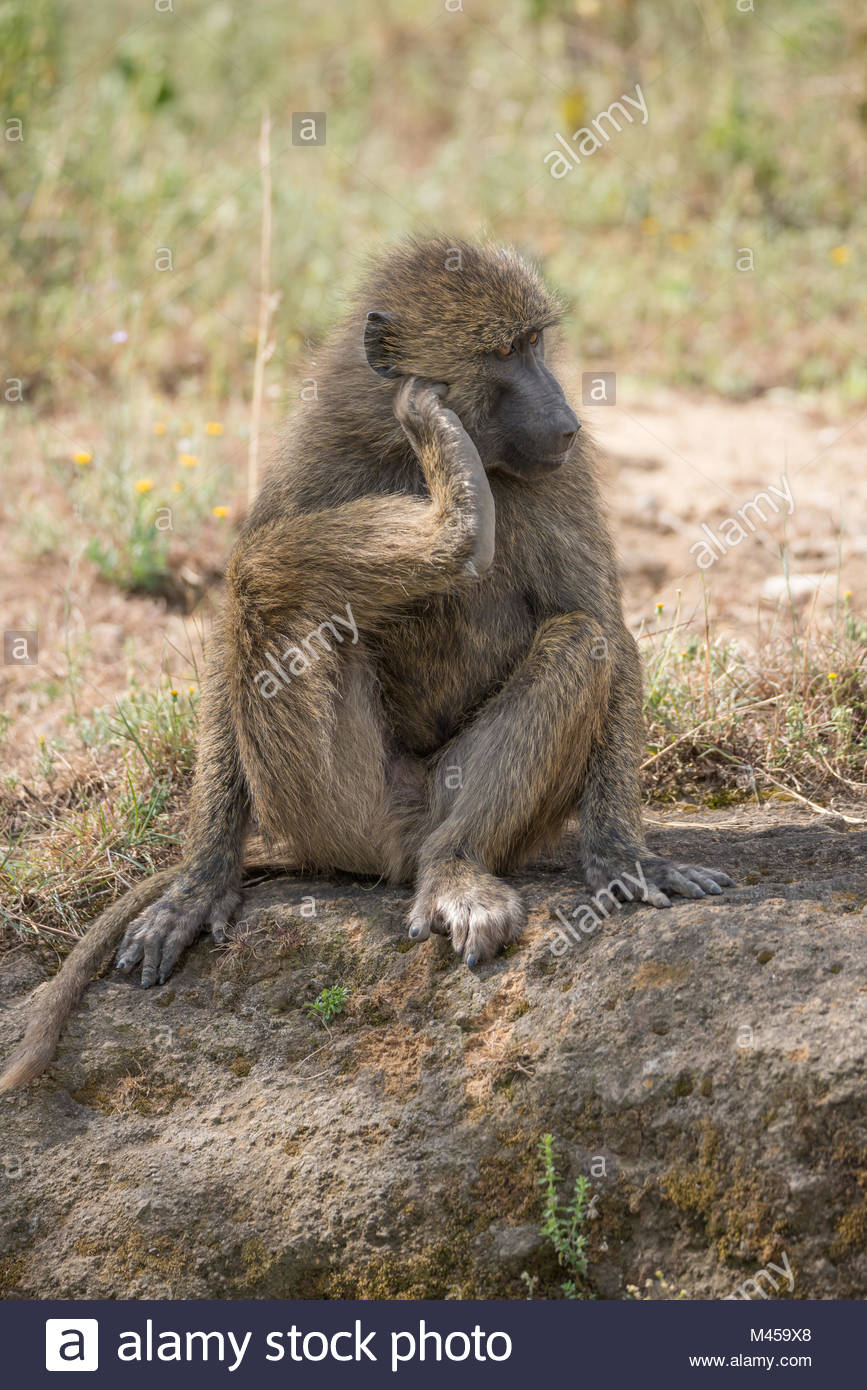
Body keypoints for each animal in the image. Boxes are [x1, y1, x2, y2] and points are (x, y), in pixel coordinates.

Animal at [0, 236, 733, 1091]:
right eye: (504, 352)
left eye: (534, 343)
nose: (565, 421)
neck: (397, 447)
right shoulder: (314, 452)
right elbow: (223, 657)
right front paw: (199, 883)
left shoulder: (562, 478)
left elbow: (608, 632)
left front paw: (625, 856)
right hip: (338, 817)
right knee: (261, 581)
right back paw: (452, 525)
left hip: (439, 807)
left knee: (576, 644)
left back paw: (456, 872)